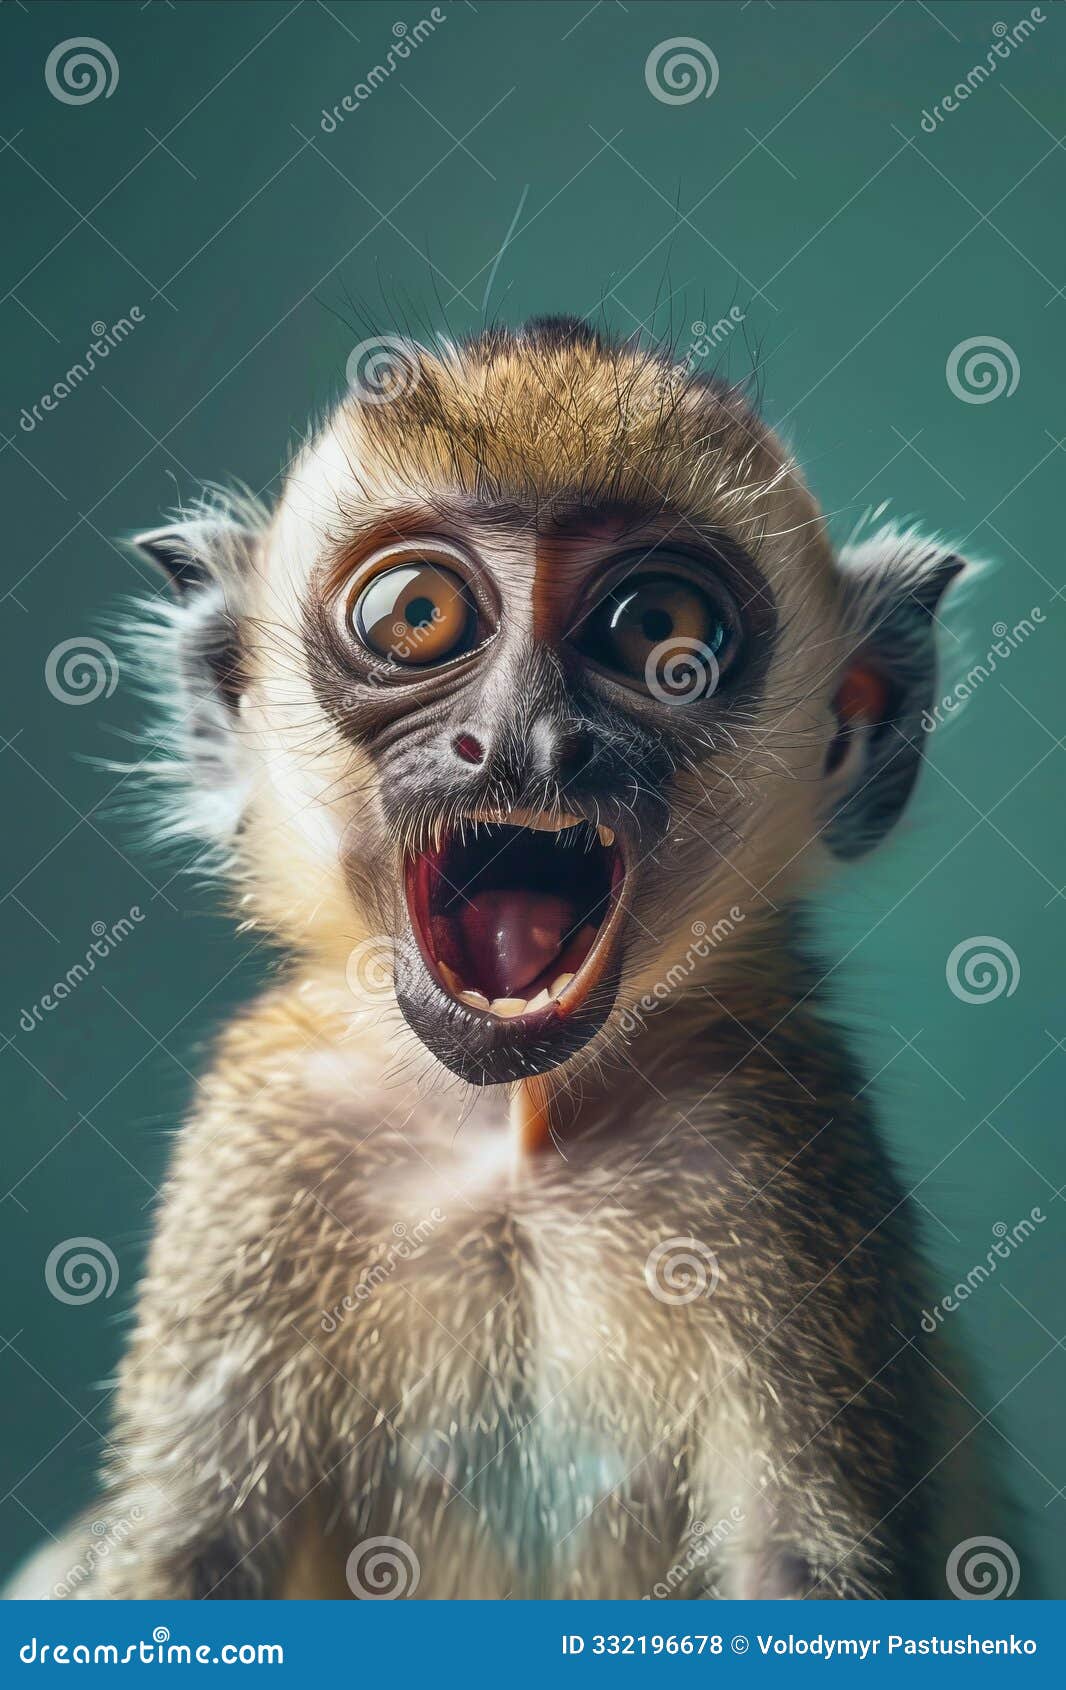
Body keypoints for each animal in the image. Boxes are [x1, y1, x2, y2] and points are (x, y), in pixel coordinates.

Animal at [9, 315, 1021, 1601]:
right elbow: (179, 1556)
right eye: (415, 613)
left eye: (658, 630)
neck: (513, 1143)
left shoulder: (775, 1137)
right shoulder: (265, 1129)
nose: (526, 740)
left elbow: (800, 1561)